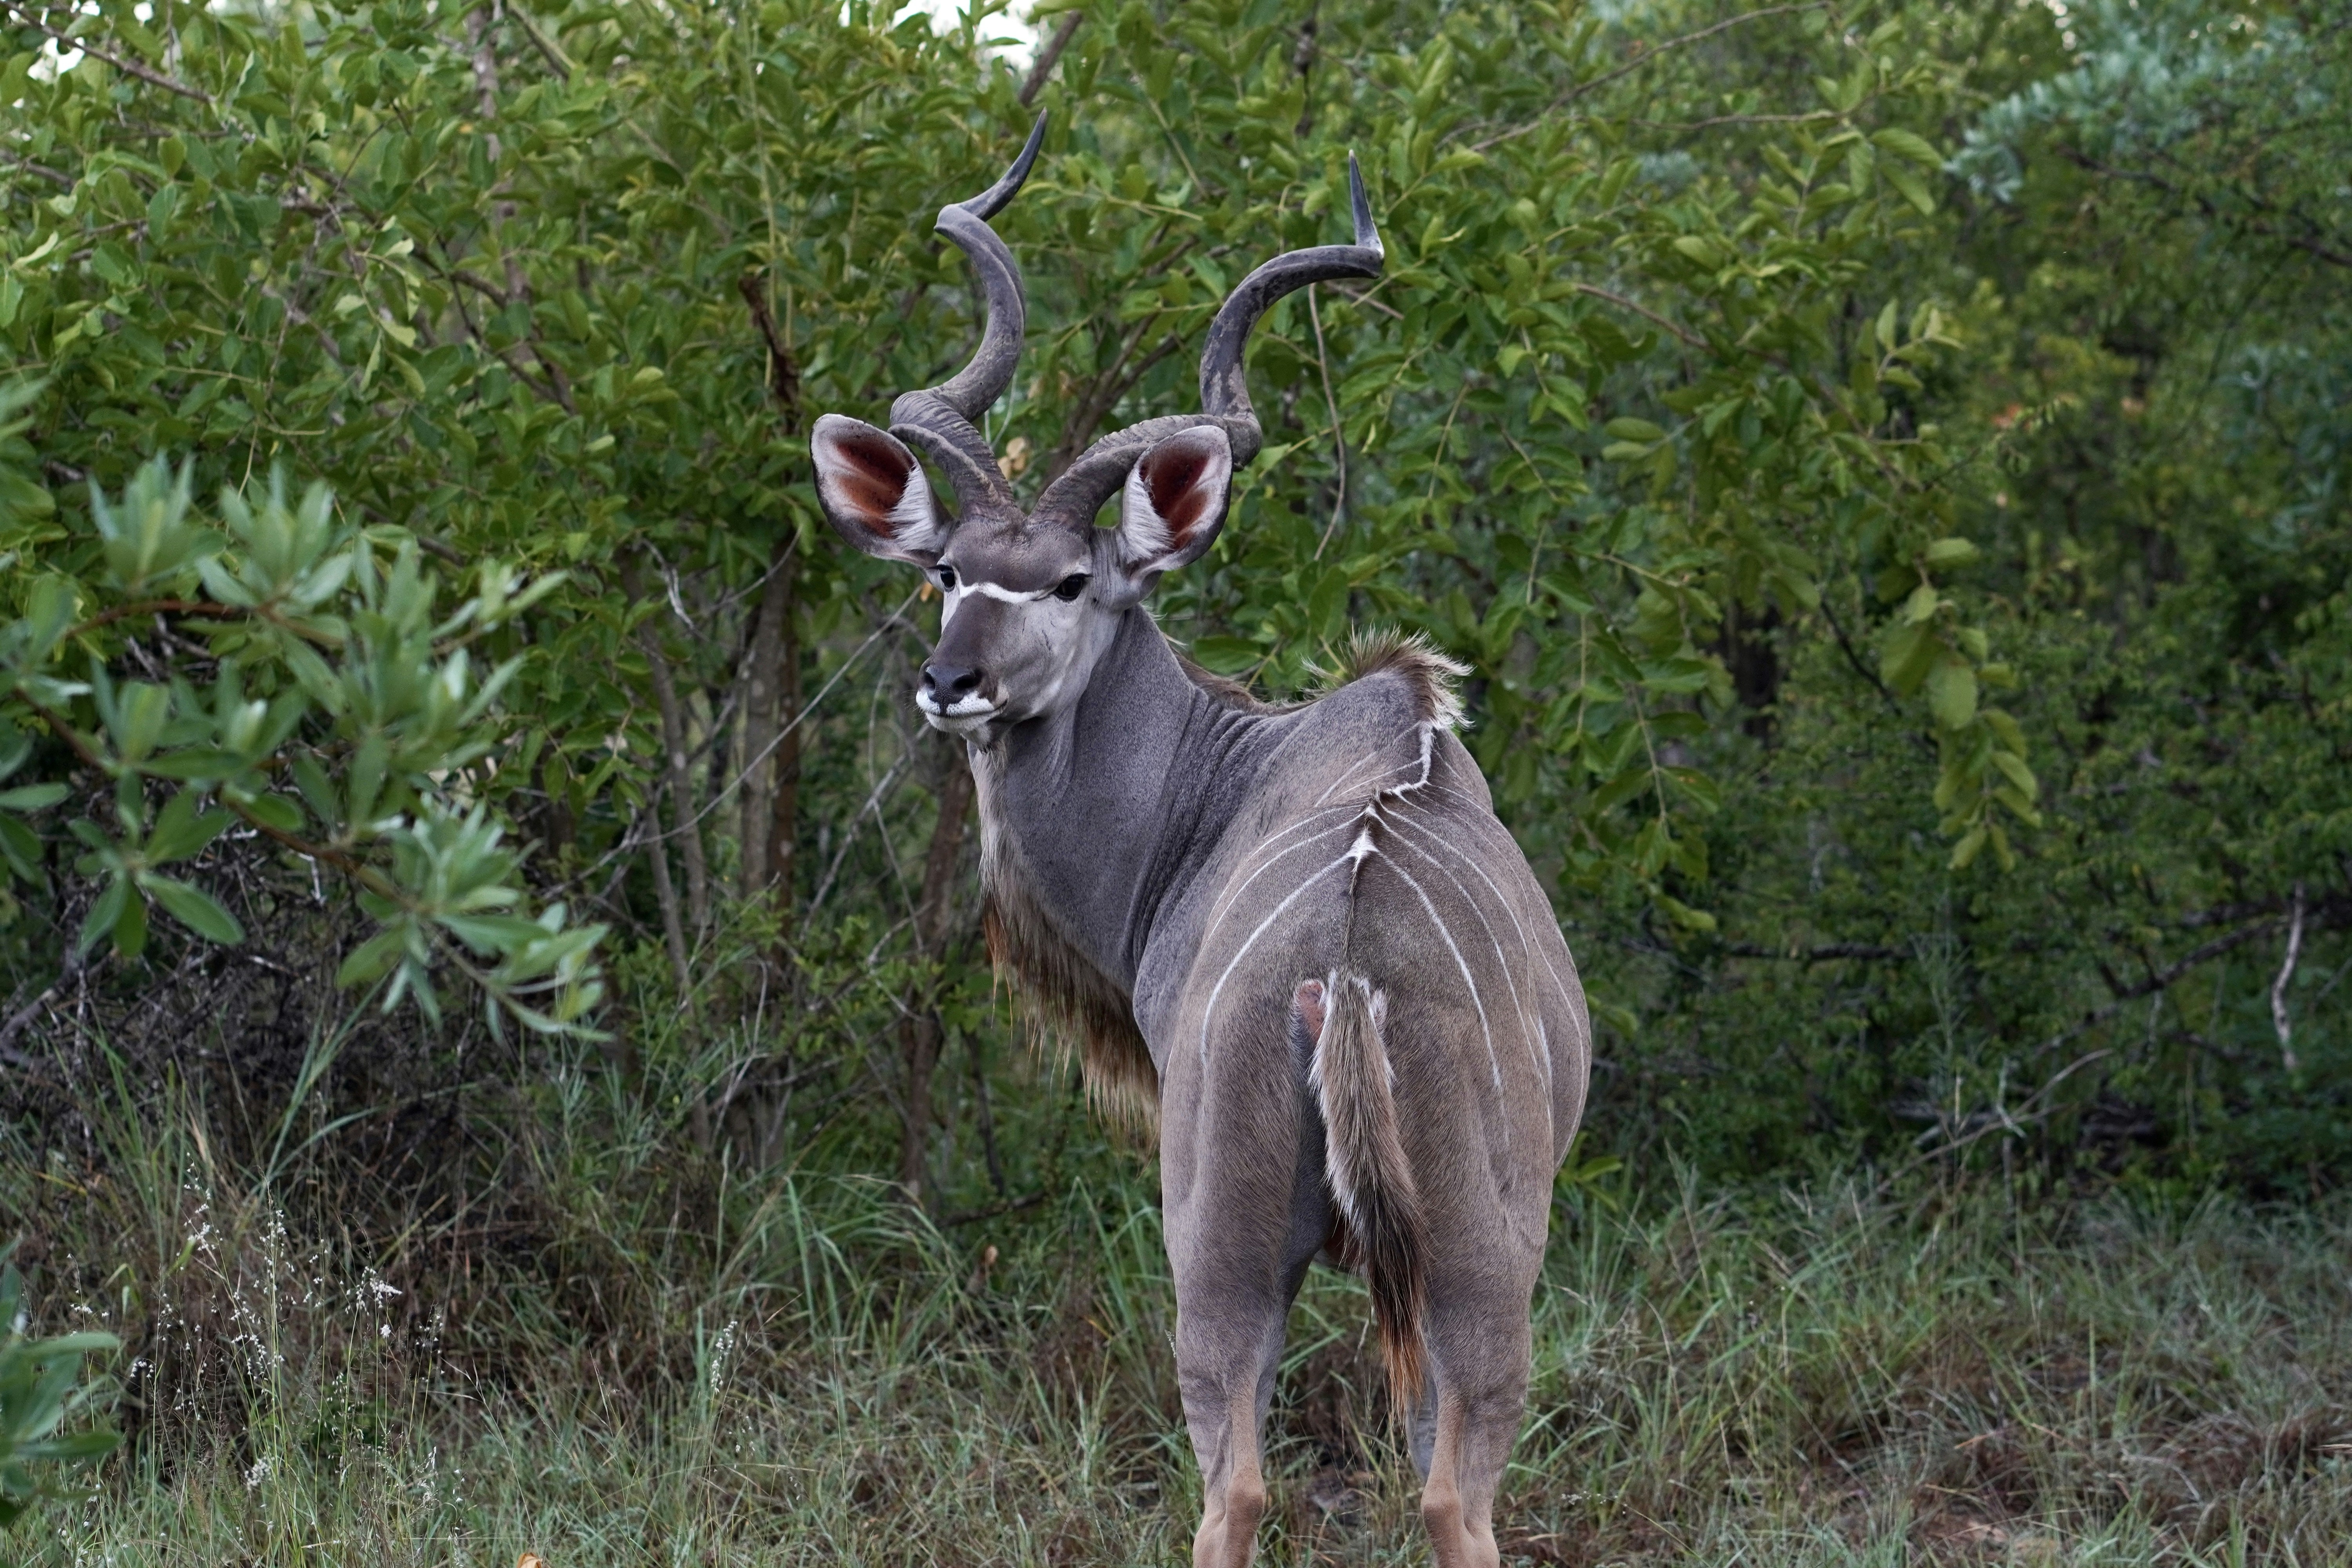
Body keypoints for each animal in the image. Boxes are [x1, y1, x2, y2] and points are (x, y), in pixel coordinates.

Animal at [808, 117, 1590, 1568]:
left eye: (1068, 582)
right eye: (947, 573)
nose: (951, 684)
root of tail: (1345, 970)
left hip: (1237, 1254)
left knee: (1240, 1487)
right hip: (1453, 1262)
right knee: (1433, 1496)